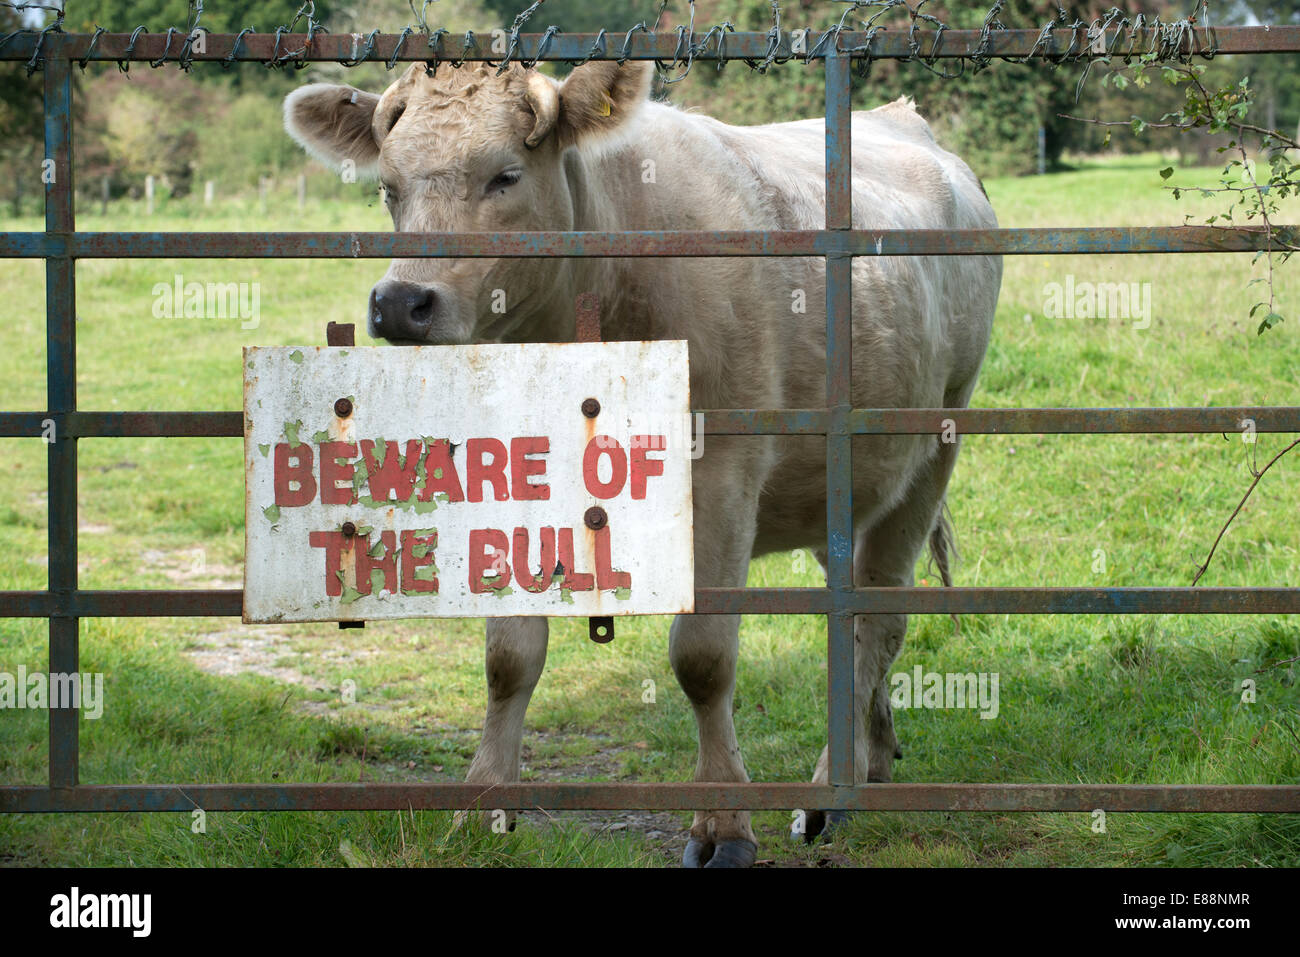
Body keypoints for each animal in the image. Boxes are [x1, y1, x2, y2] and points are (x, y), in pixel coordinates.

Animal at [283, 58, 1002, 867]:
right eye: (388, 187)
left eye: (504, 176)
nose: (402, 302)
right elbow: (509, 654)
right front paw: (485, 802)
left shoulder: (721, 479)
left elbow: (703, 658)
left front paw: (723, 823)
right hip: (843, 484)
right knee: (852, 608)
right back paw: (868, 762)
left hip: (936, 443)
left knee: (879, 615)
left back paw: (826, 791)